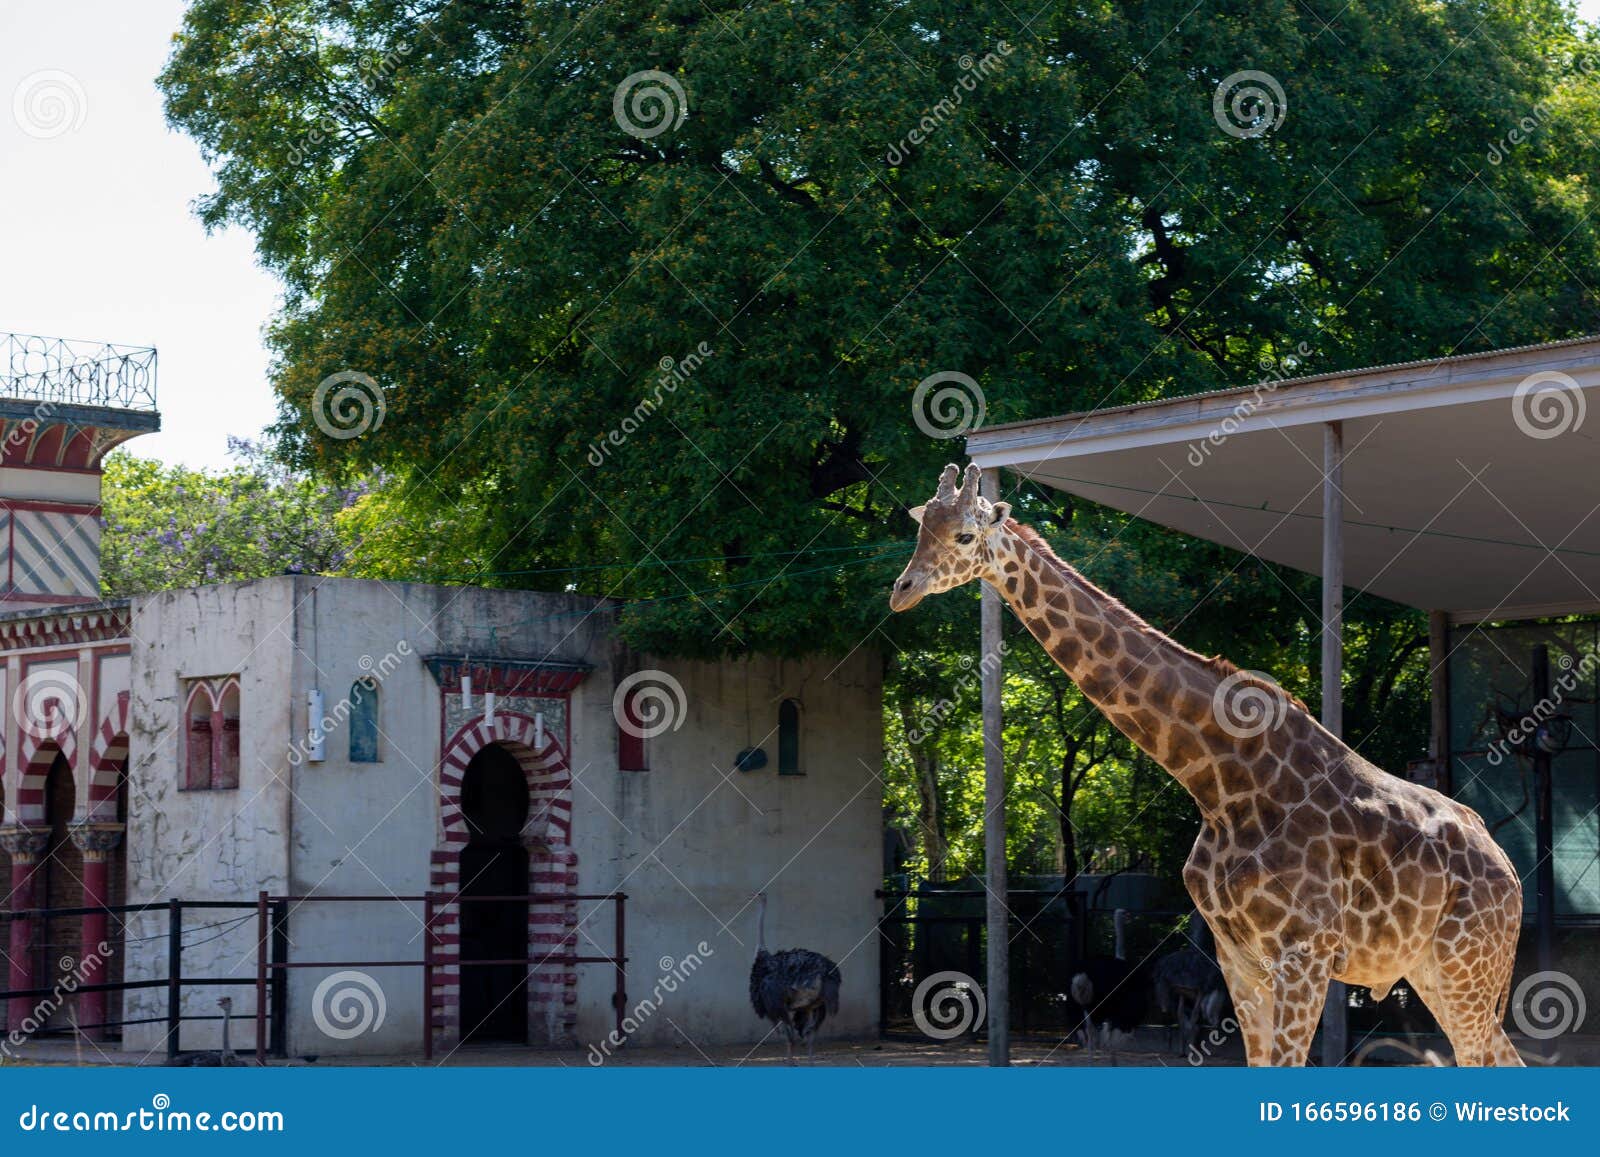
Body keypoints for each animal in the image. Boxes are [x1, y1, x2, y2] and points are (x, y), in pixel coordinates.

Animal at [890, 464, 1524, 1066]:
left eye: (965, 534)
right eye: (921, 530)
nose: (902, 590)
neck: (1215, 781)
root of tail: (1511, 875)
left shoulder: (1304, 954)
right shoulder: (1239, 958)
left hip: (1467, 966)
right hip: (1433, 971)